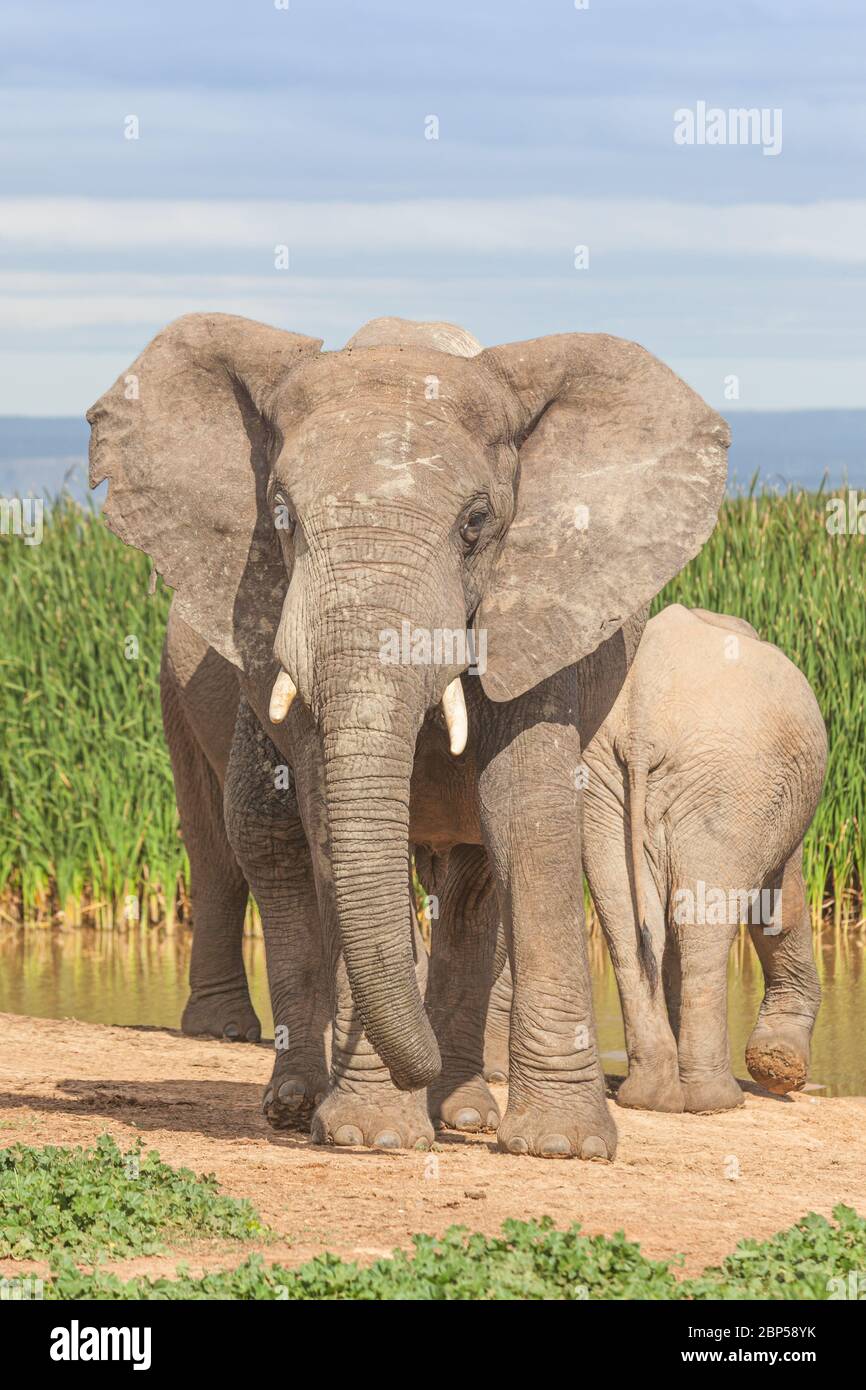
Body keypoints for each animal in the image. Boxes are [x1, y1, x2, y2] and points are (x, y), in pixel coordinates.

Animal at [87, 314, 729, 1158]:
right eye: (280, 514)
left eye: (476, 523)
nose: (409, 1072)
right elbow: (327, 821)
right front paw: (372, 1134)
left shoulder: (538, 603)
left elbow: (525, 812)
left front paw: (562, 1146)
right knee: (259, 848)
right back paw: (301, 1103)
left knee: (473, 882)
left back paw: (463, 1114)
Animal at [482, 605, 827, 1115]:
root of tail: (642, 726)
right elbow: (780, 908)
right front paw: (776, 1070)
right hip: (728, 782)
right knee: (702, 928)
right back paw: (714, 1101)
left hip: (606, 781)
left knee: (630, 927)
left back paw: (651, 1097)